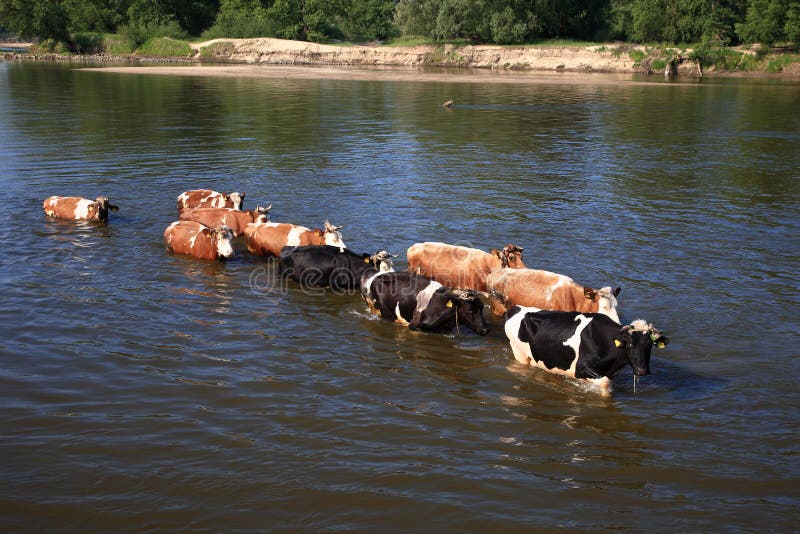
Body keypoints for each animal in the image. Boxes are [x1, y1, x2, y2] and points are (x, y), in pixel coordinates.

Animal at [504, 306, 668, 395]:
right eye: (630, 344)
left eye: (649, 345)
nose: (642, 370)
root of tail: (517, 308)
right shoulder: (581, 368)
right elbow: (605, 384)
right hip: (520, 354)